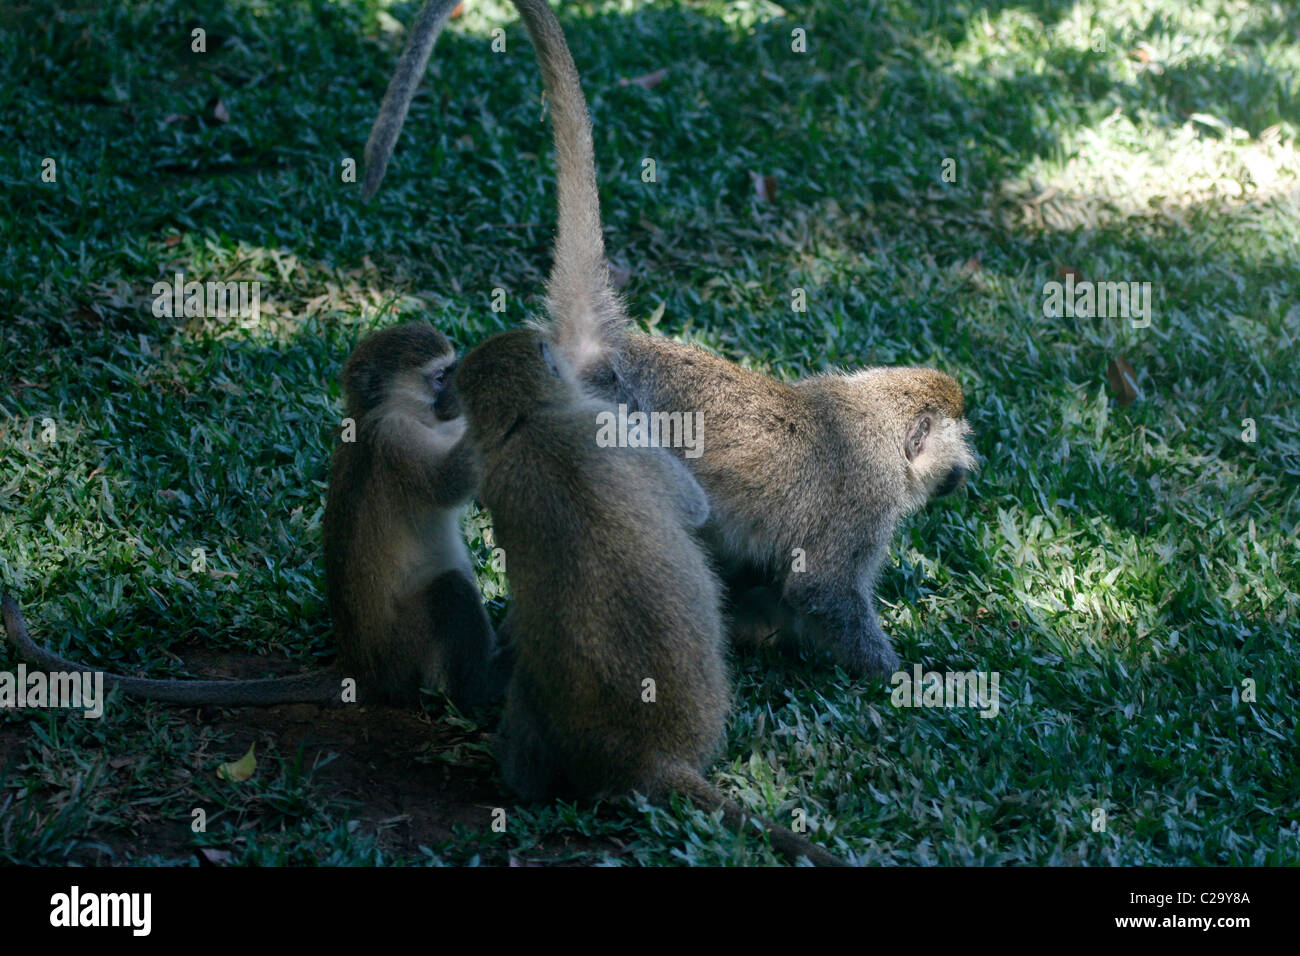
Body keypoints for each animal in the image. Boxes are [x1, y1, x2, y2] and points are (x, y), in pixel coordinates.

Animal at [2, 323, 507, 710]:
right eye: (441, 377)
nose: (458, 392)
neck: (382, 413)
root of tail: (357, 668)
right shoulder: (395, 441)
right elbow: (448, 483)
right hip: (404, 648)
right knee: (450, 592)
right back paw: (483, 691)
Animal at [361, 0, 977, 680]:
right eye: (962, 436)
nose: (967, 469)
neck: (874, 423)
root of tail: (605, 357)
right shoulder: (865, 507)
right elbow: (823, 591)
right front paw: (900, 674)